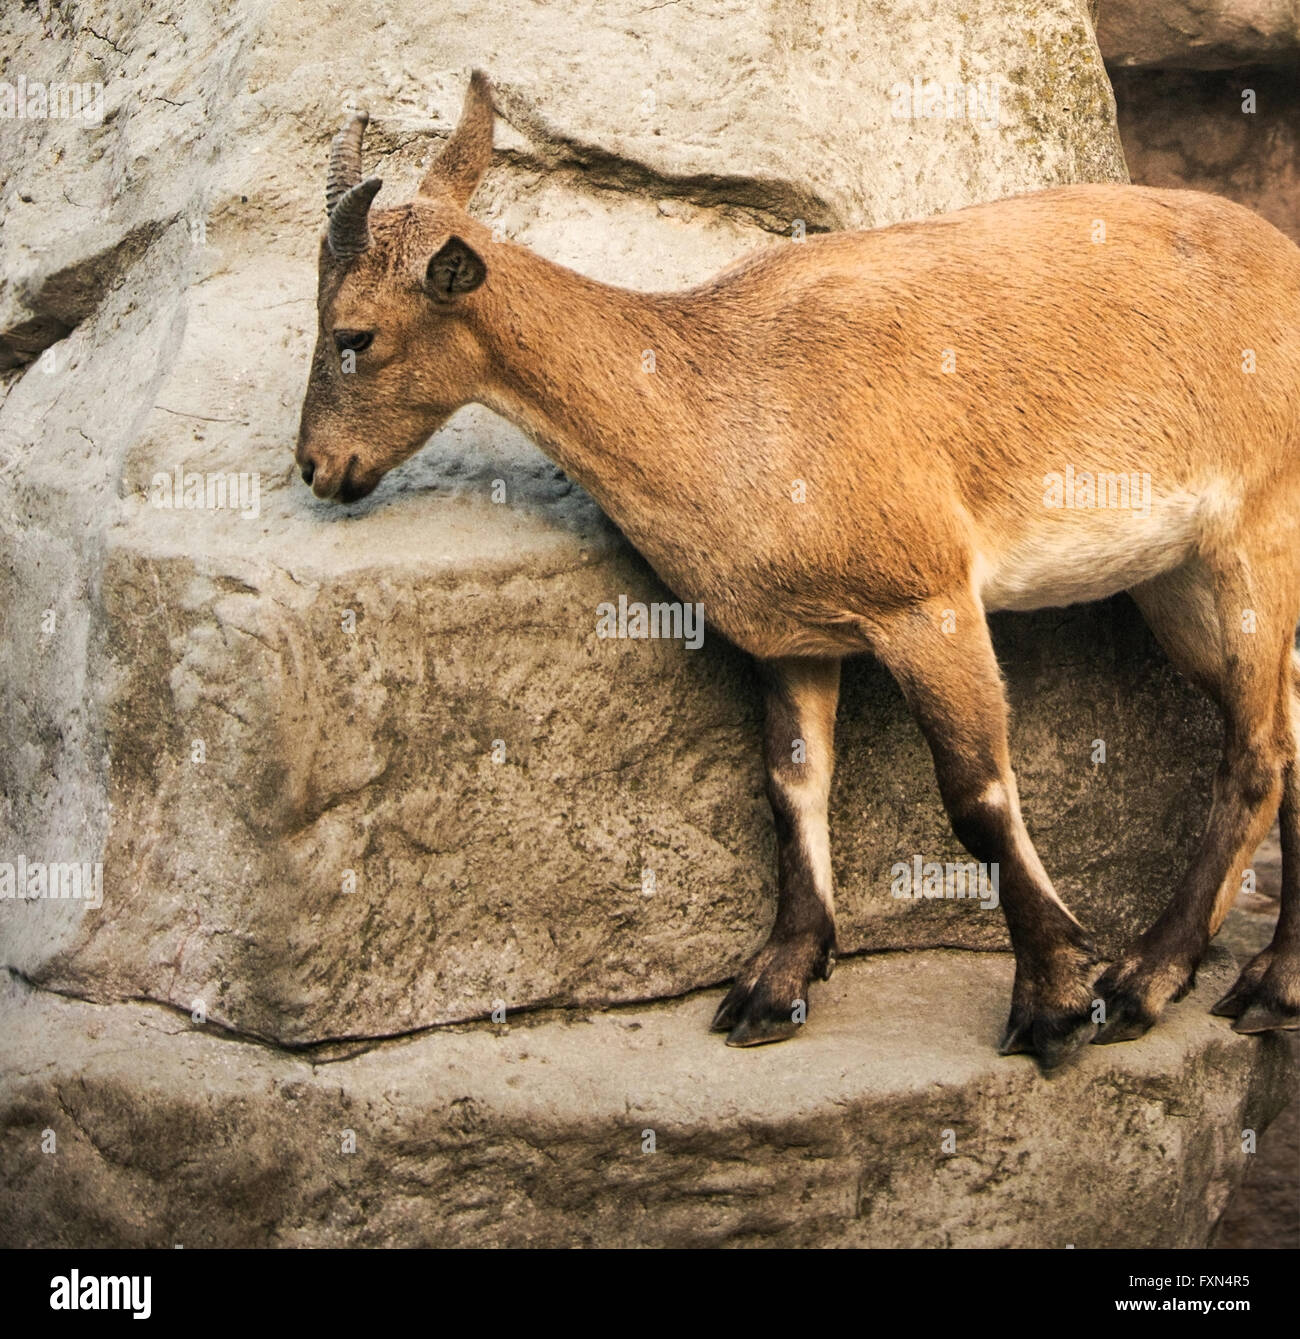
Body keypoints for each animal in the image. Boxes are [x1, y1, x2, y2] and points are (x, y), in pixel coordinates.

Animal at [296, 72, 1300, 1067]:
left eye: (354, 335)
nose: (315, 466)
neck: (722, 392)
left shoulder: (926, 599)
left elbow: (977, 798)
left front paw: (1053, 1004)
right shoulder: (792, 637)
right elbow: (792, 785)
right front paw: (772, 987)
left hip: (1257, 537)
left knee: (1256, 755)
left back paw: (1146, 981)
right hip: (1174, 581)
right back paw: (1271, 986)